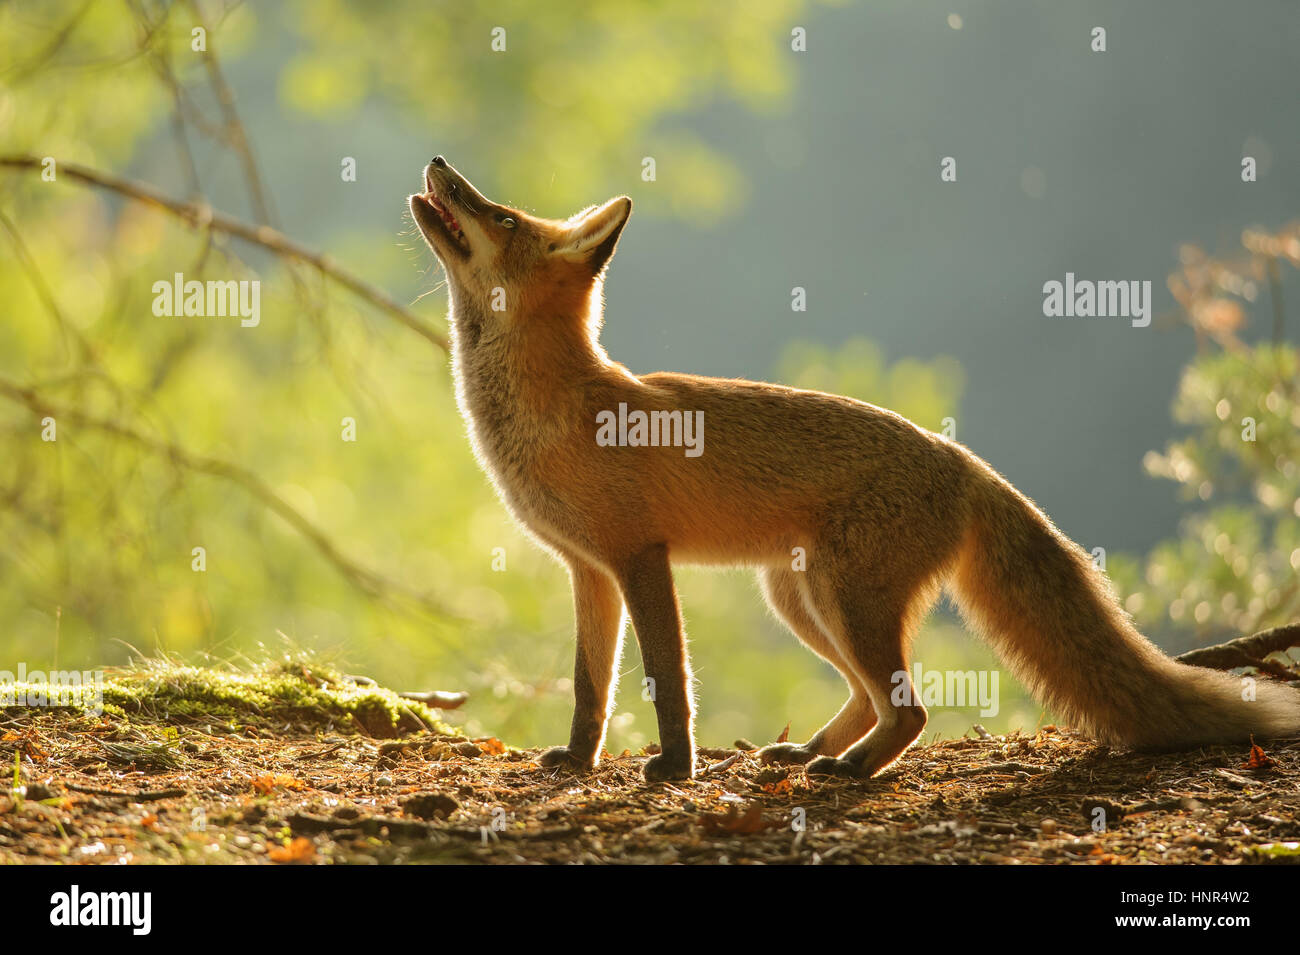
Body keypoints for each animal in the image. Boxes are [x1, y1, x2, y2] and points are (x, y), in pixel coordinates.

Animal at [408, 155, 1300, 783]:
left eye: (499, 215)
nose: (439, 163)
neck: (559, 411)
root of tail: (960, 457)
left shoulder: (639, 557)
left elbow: (668, 676)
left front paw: (675, 768)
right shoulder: (589, 570)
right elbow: (590, 686)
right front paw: (580, 761)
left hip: (843, 599)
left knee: (911, 711)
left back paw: (853, 770)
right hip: (801, 597)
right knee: (869, 696)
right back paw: (810, 753)